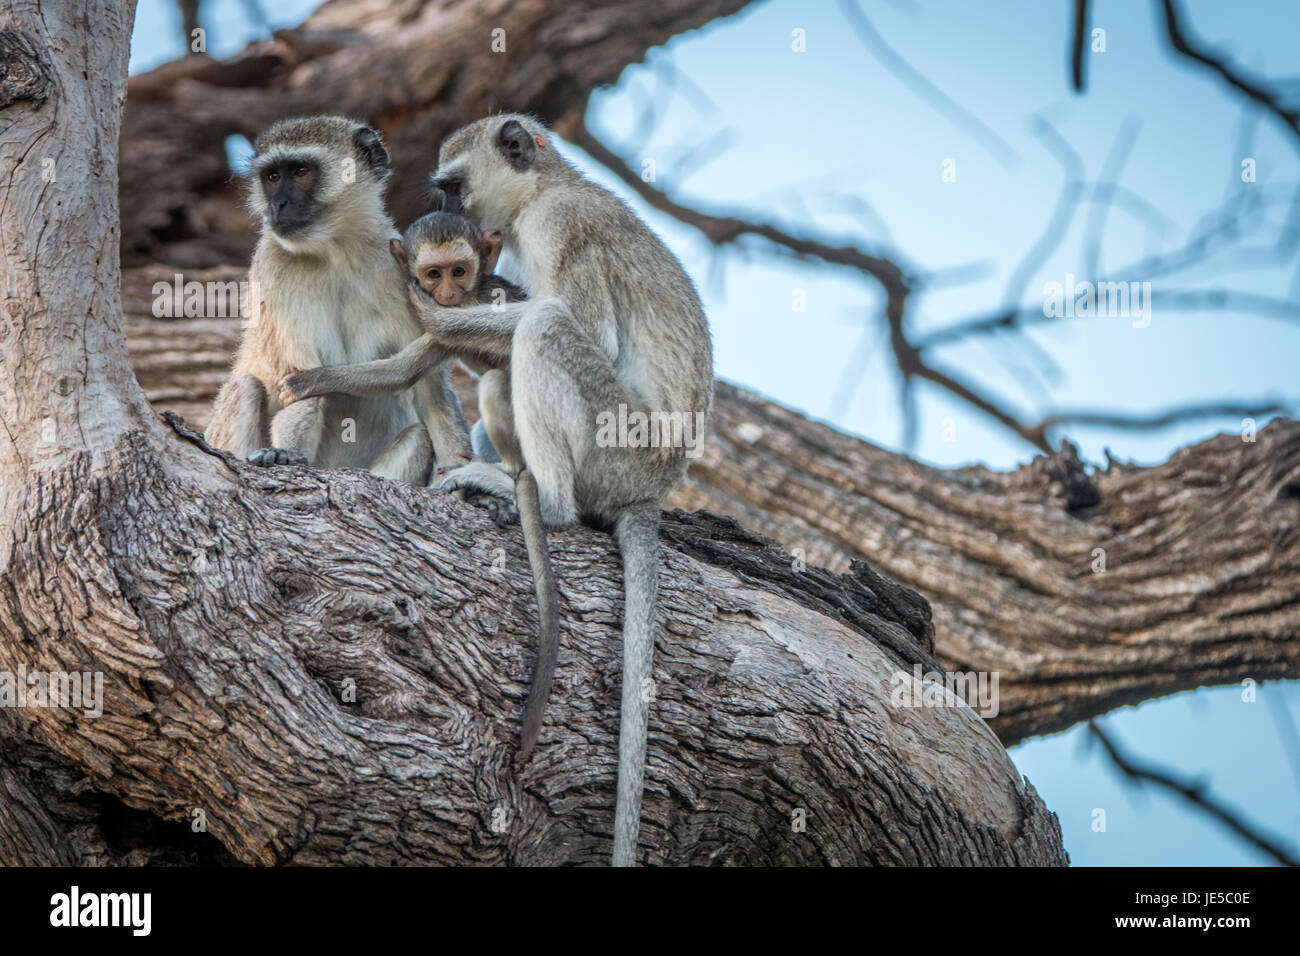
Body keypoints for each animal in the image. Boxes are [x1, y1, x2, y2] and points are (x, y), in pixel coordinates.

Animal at [203, 115, 471, 484]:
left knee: (419, 438)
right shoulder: (273, 264)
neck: (335, 250)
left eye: (301, 171)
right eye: (273, 177)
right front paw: (284, 452)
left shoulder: (405, 272)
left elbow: (430, 387)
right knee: (245, 386)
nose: (277, 205)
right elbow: (299, 374)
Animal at [416, 115, 714, 866]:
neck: (546, 188)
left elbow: (570, 324)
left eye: (451, 186)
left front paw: (432, 317)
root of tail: (653, 486)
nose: (455, 217)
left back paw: (542, 502)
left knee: (545, 329)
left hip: (618, 447)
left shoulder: (561, 227)